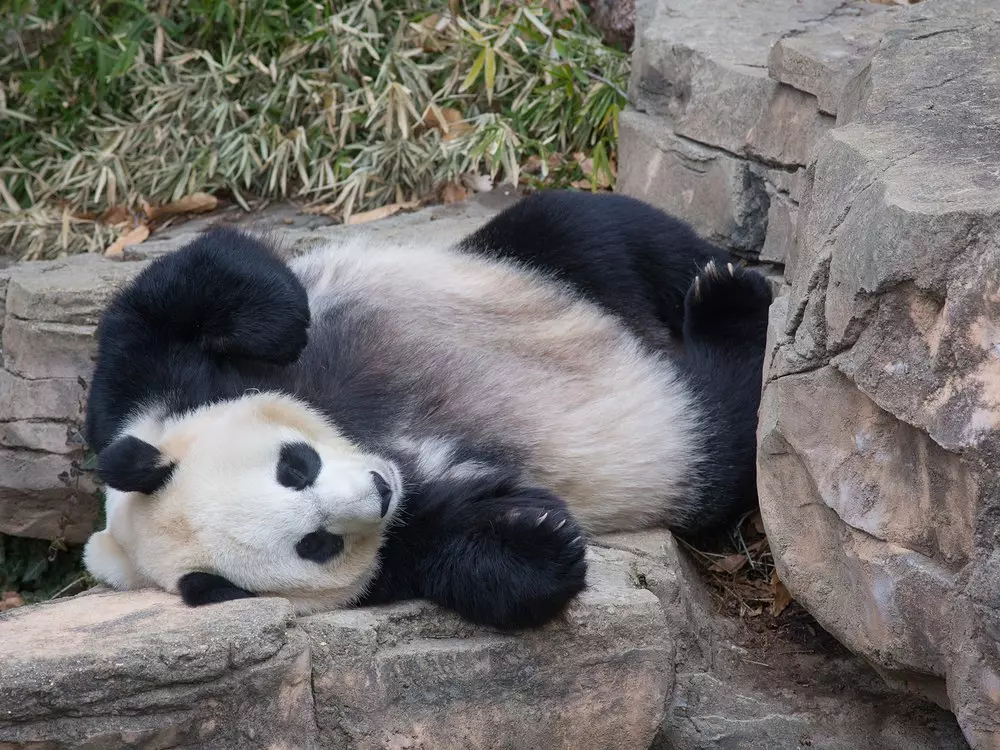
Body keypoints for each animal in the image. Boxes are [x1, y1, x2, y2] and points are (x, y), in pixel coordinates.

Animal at [84, 191, 772, 632]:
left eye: (294, 466)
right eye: (316, 544)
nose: (379, 488)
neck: (374, 438)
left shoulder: (152, 395)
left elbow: (192, 281)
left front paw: (285, 321)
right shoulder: (394, 554)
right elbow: (473, 559)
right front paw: (542, 531)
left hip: (519, 263)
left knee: (588, 226)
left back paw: (723, 282)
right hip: (674, 444)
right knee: (726, 430)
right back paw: (730, 319)